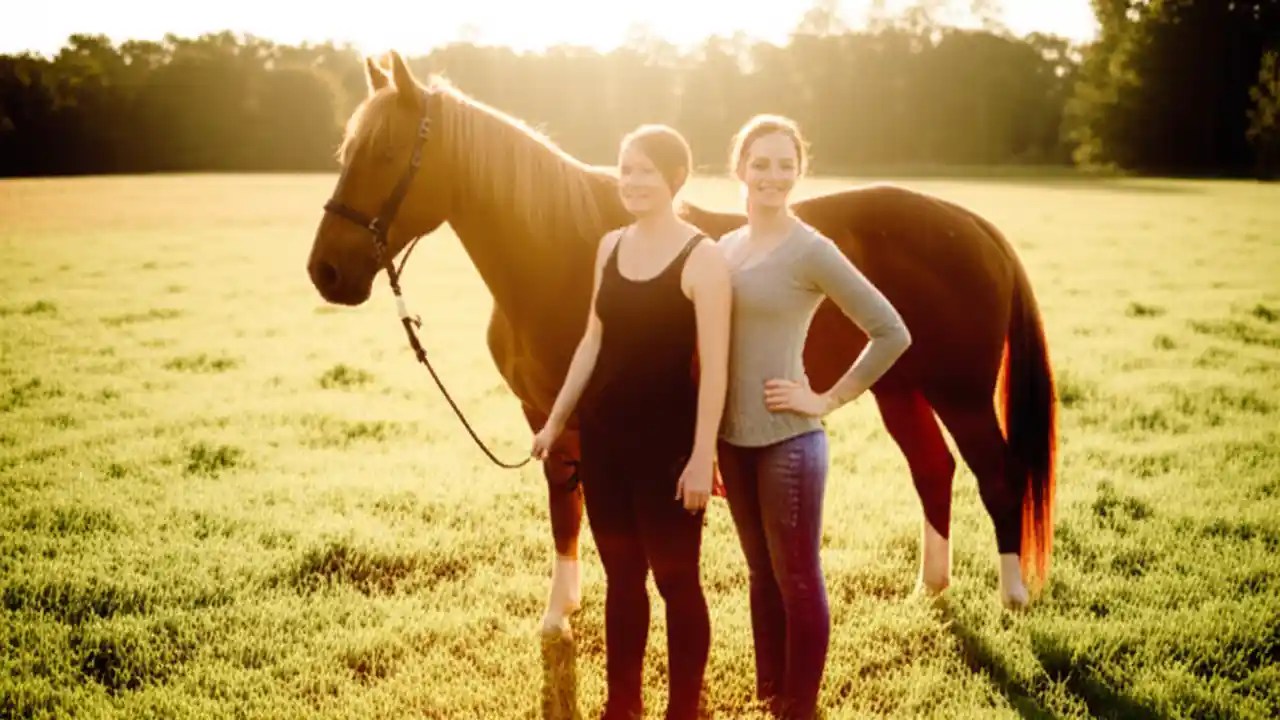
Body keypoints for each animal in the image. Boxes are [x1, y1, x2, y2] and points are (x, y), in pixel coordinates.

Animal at [305, 52, 1056, 630]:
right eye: (345, 151)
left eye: (384, 153)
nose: (326, 272)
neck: (559, 248)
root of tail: (973, 225)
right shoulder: (547, 414)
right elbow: (563, 509)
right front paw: (560, 614)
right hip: (899, 387)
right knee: (933, 470)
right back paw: (928, 589)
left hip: (960, 394)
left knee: (997, 474)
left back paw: (1013, 597)